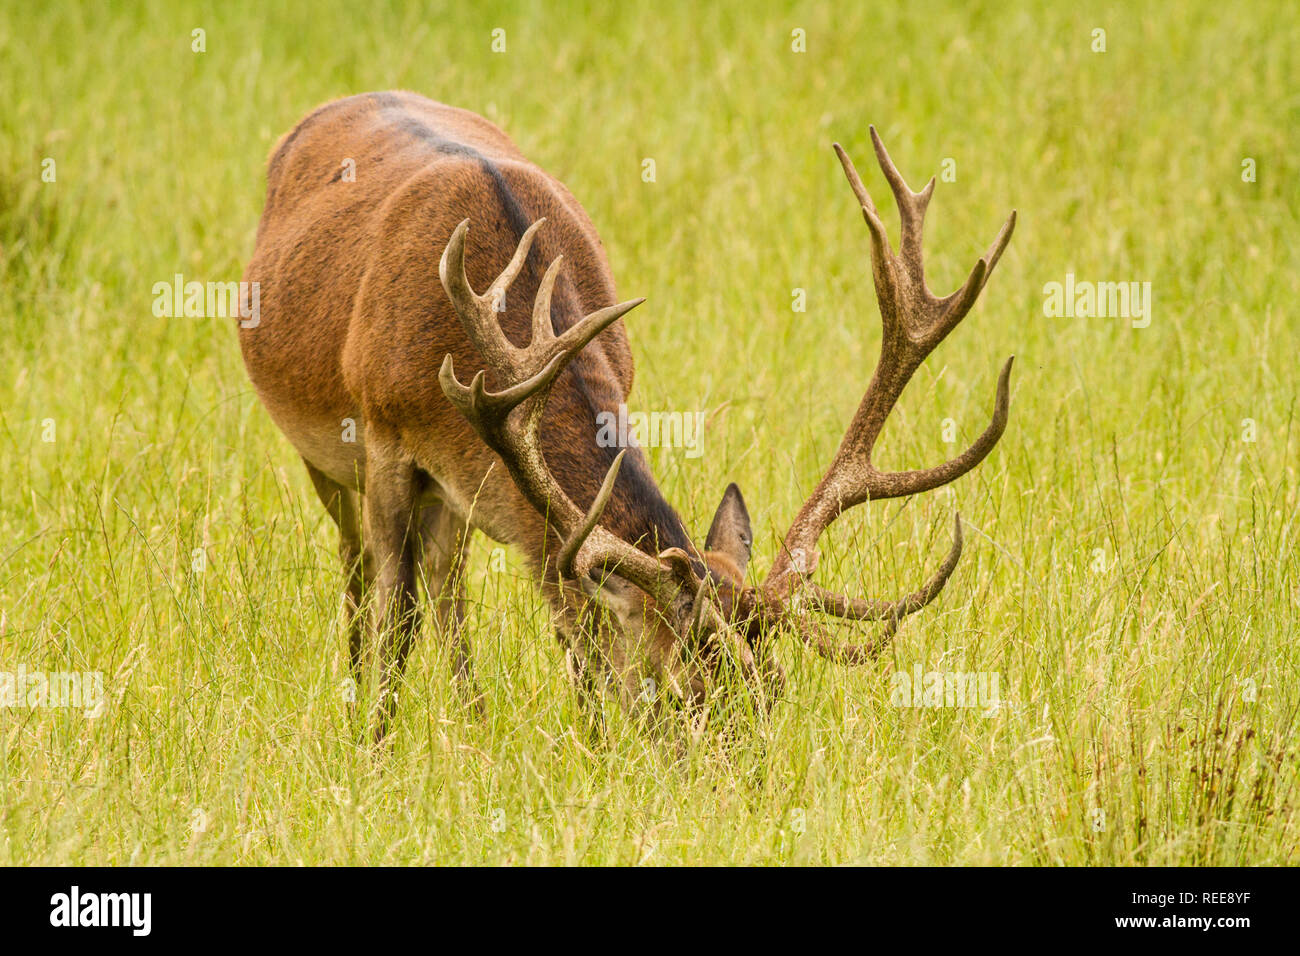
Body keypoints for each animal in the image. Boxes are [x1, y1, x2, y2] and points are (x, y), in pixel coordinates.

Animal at [239, 91, 1015, 741]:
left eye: (774, 688)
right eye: (674, 693)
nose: (750, 789)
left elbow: (573, 639)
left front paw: (592, 748)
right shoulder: (384, 438)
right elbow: (395, 618)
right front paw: (374, 748)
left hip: (448, 502)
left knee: (446, 577)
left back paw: (475, 723)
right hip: (326, 456)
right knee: (362, 571)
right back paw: (365, 699)